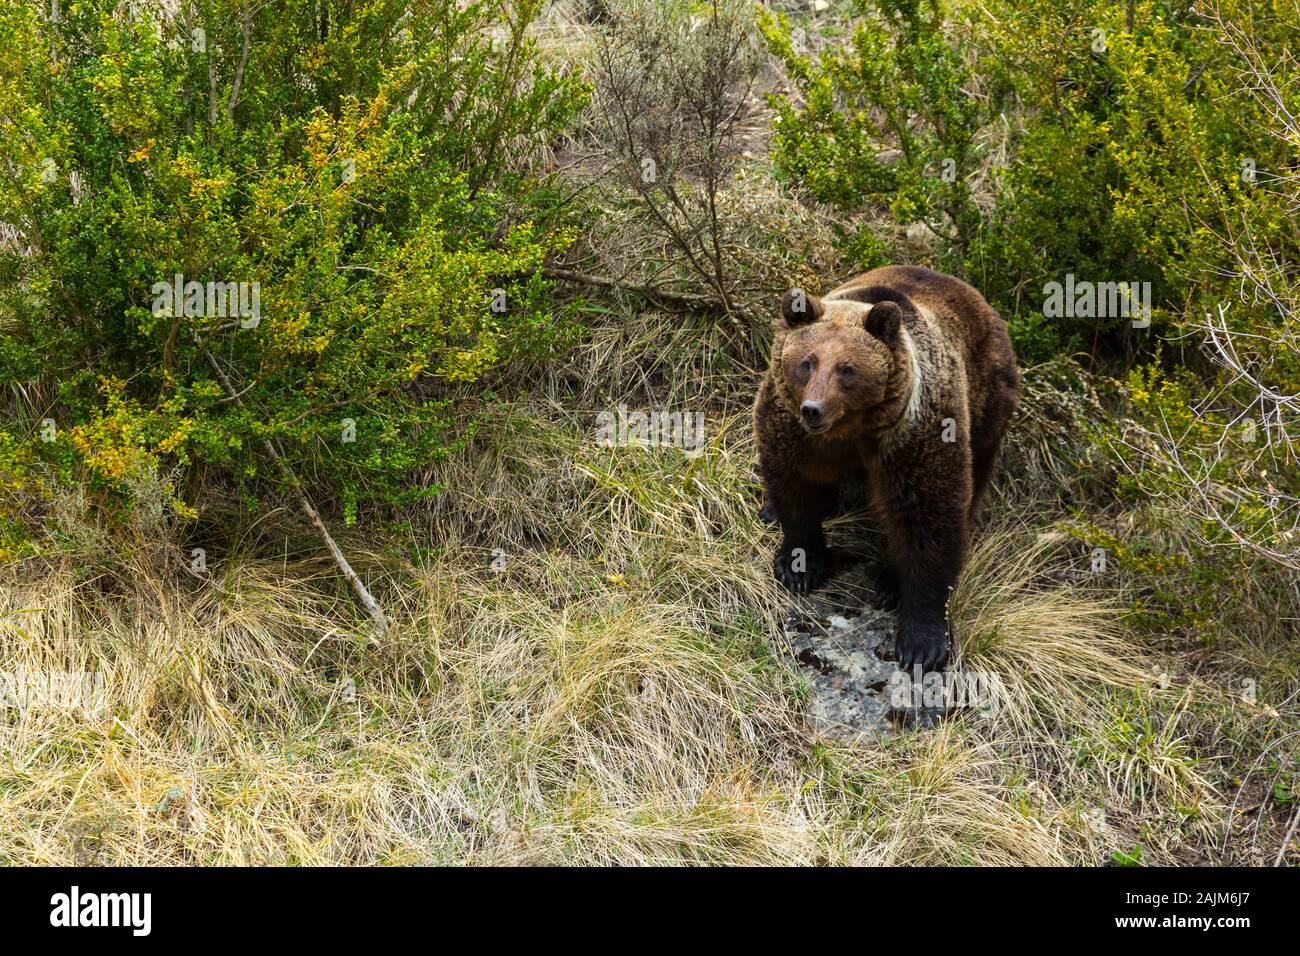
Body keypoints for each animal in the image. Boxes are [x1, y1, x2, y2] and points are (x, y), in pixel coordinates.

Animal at [753, 265, 1021, 673]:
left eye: (846, 369)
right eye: (807, 362)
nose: (813, 409)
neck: (850, 430)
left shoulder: (913, 436)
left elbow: (929, 519)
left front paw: (921, 643)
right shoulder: (793, 430)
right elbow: (794, 487)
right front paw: (798, 566)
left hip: (988, 397)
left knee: (976, 474)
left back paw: (891, 581)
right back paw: (769, 508)